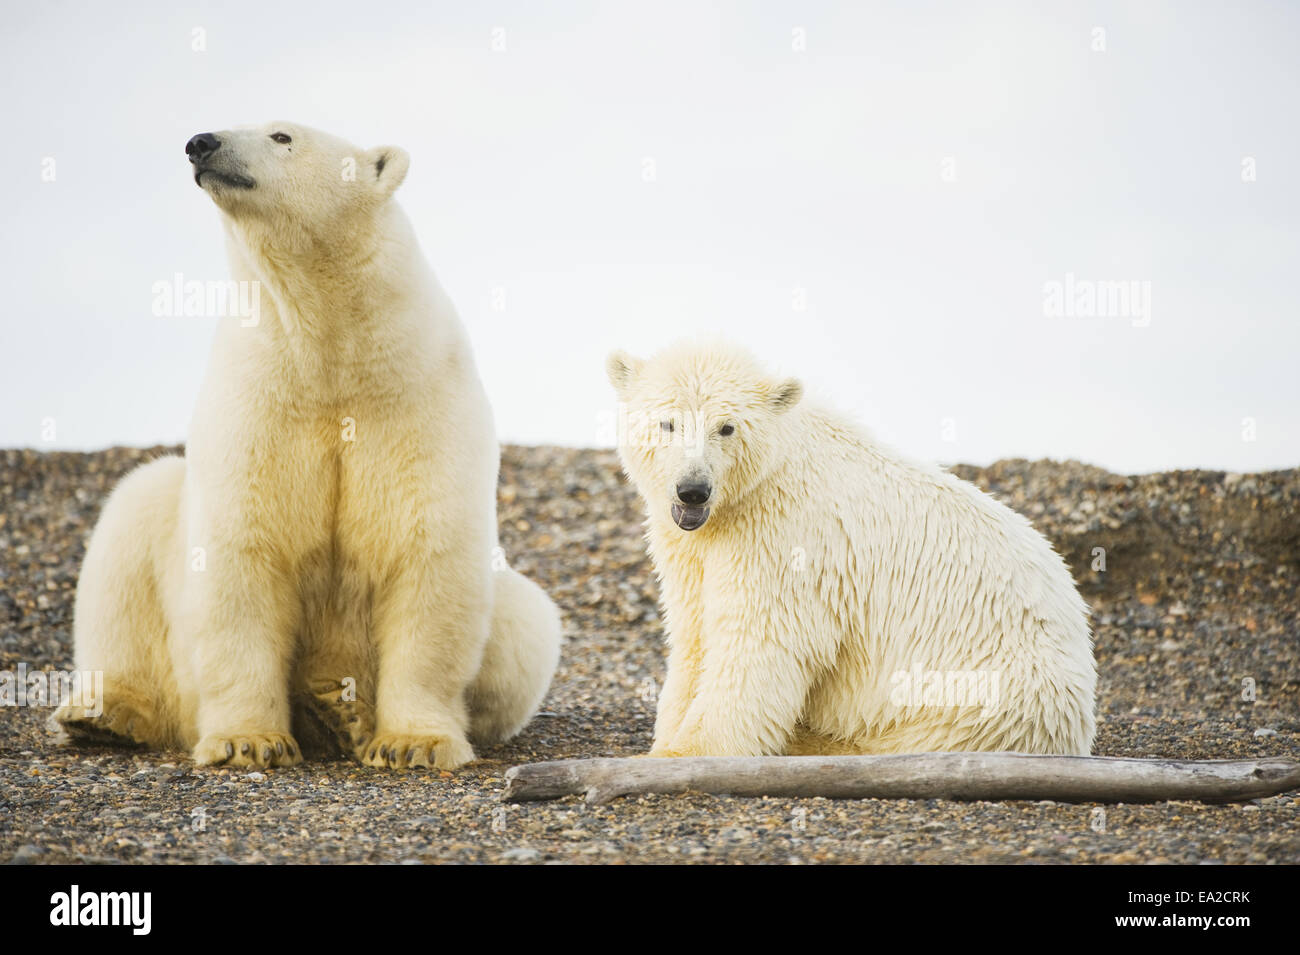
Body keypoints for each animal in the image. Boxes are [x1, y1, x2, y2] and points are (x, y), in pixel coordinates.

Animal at [54, 122, 561, 771]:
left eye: (281, 135)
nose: (201, 142)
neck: (332, 352)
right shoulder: (260, 397)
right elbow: (242, 554)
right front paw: (249, 740)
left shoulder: (418, 397)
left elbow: (425, 556)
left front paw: (413, 743)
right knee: (133, 517)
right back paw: (106, 714)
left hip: (511, 615)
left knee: (529, 616)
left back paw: (339, 712)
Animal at [606, 340, 1096, 758]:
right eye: (668, 422)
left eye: (726, 427)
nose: (693, 490)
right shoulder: (693, 546)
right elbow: (693, 629)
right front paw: (668, 738)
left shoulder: (786, 539)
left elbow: (759, 639)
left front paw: (690, 750)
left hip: (984, 691)